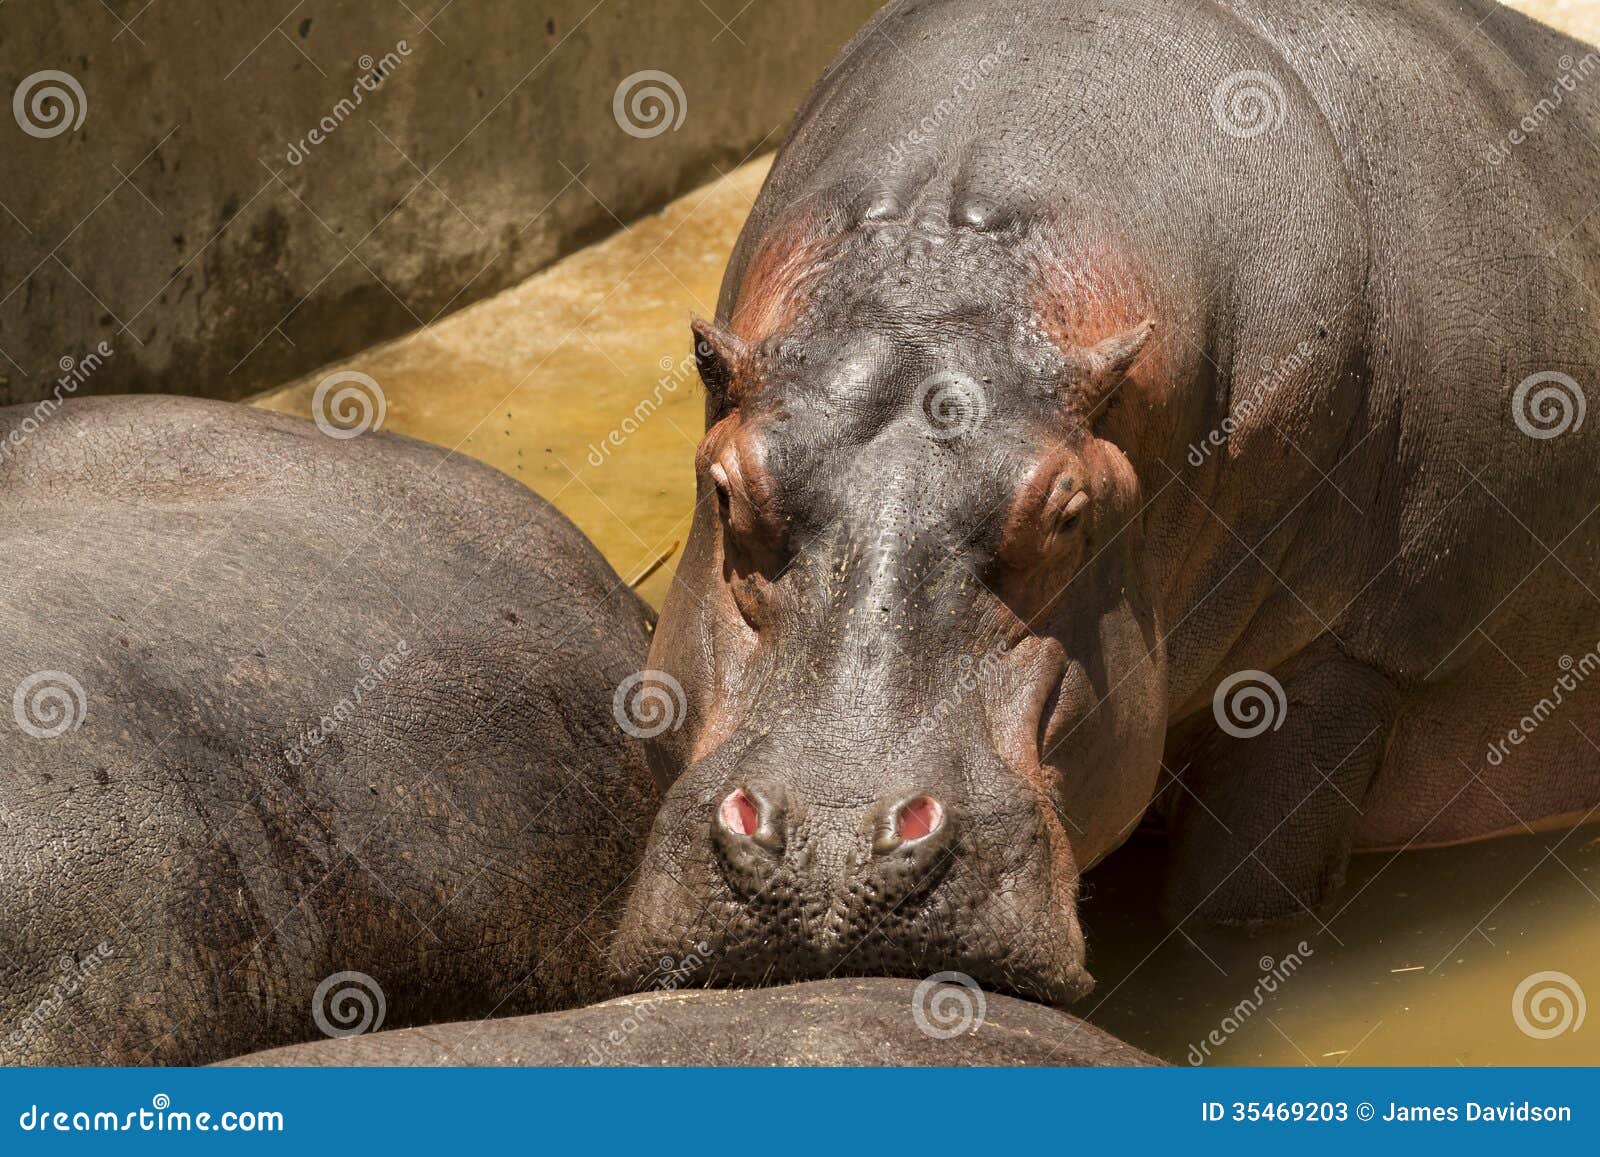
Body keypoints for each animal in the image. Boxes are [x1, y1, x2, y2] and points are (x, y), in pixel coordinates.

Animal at [615, 0, 1600, 1008]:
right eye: (727, 489)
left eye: (1068, 514)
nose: (834, 847)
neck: (940, 275)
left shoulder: (1354, 666)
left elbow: (1234, 902)